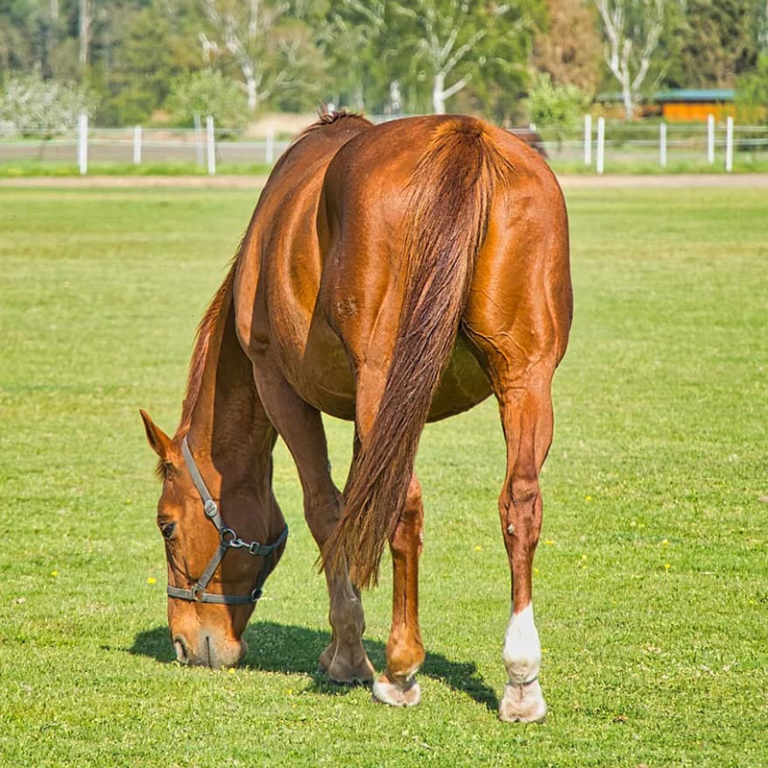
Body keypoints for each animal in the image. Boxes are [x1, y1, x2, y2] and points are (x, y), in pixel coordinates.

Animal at [140, 111, 572, 723]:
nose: (184, 643)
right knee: (520, 504)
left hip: (384, 379)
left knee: (405, 504)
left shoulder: (281, 387)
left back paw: (400, 668)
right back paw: (520, 678)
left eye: (167, 526)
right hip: (525, 378)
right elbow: (355, 507)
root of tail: (463, 136)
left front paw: (348, 654)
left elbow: (327, 511)